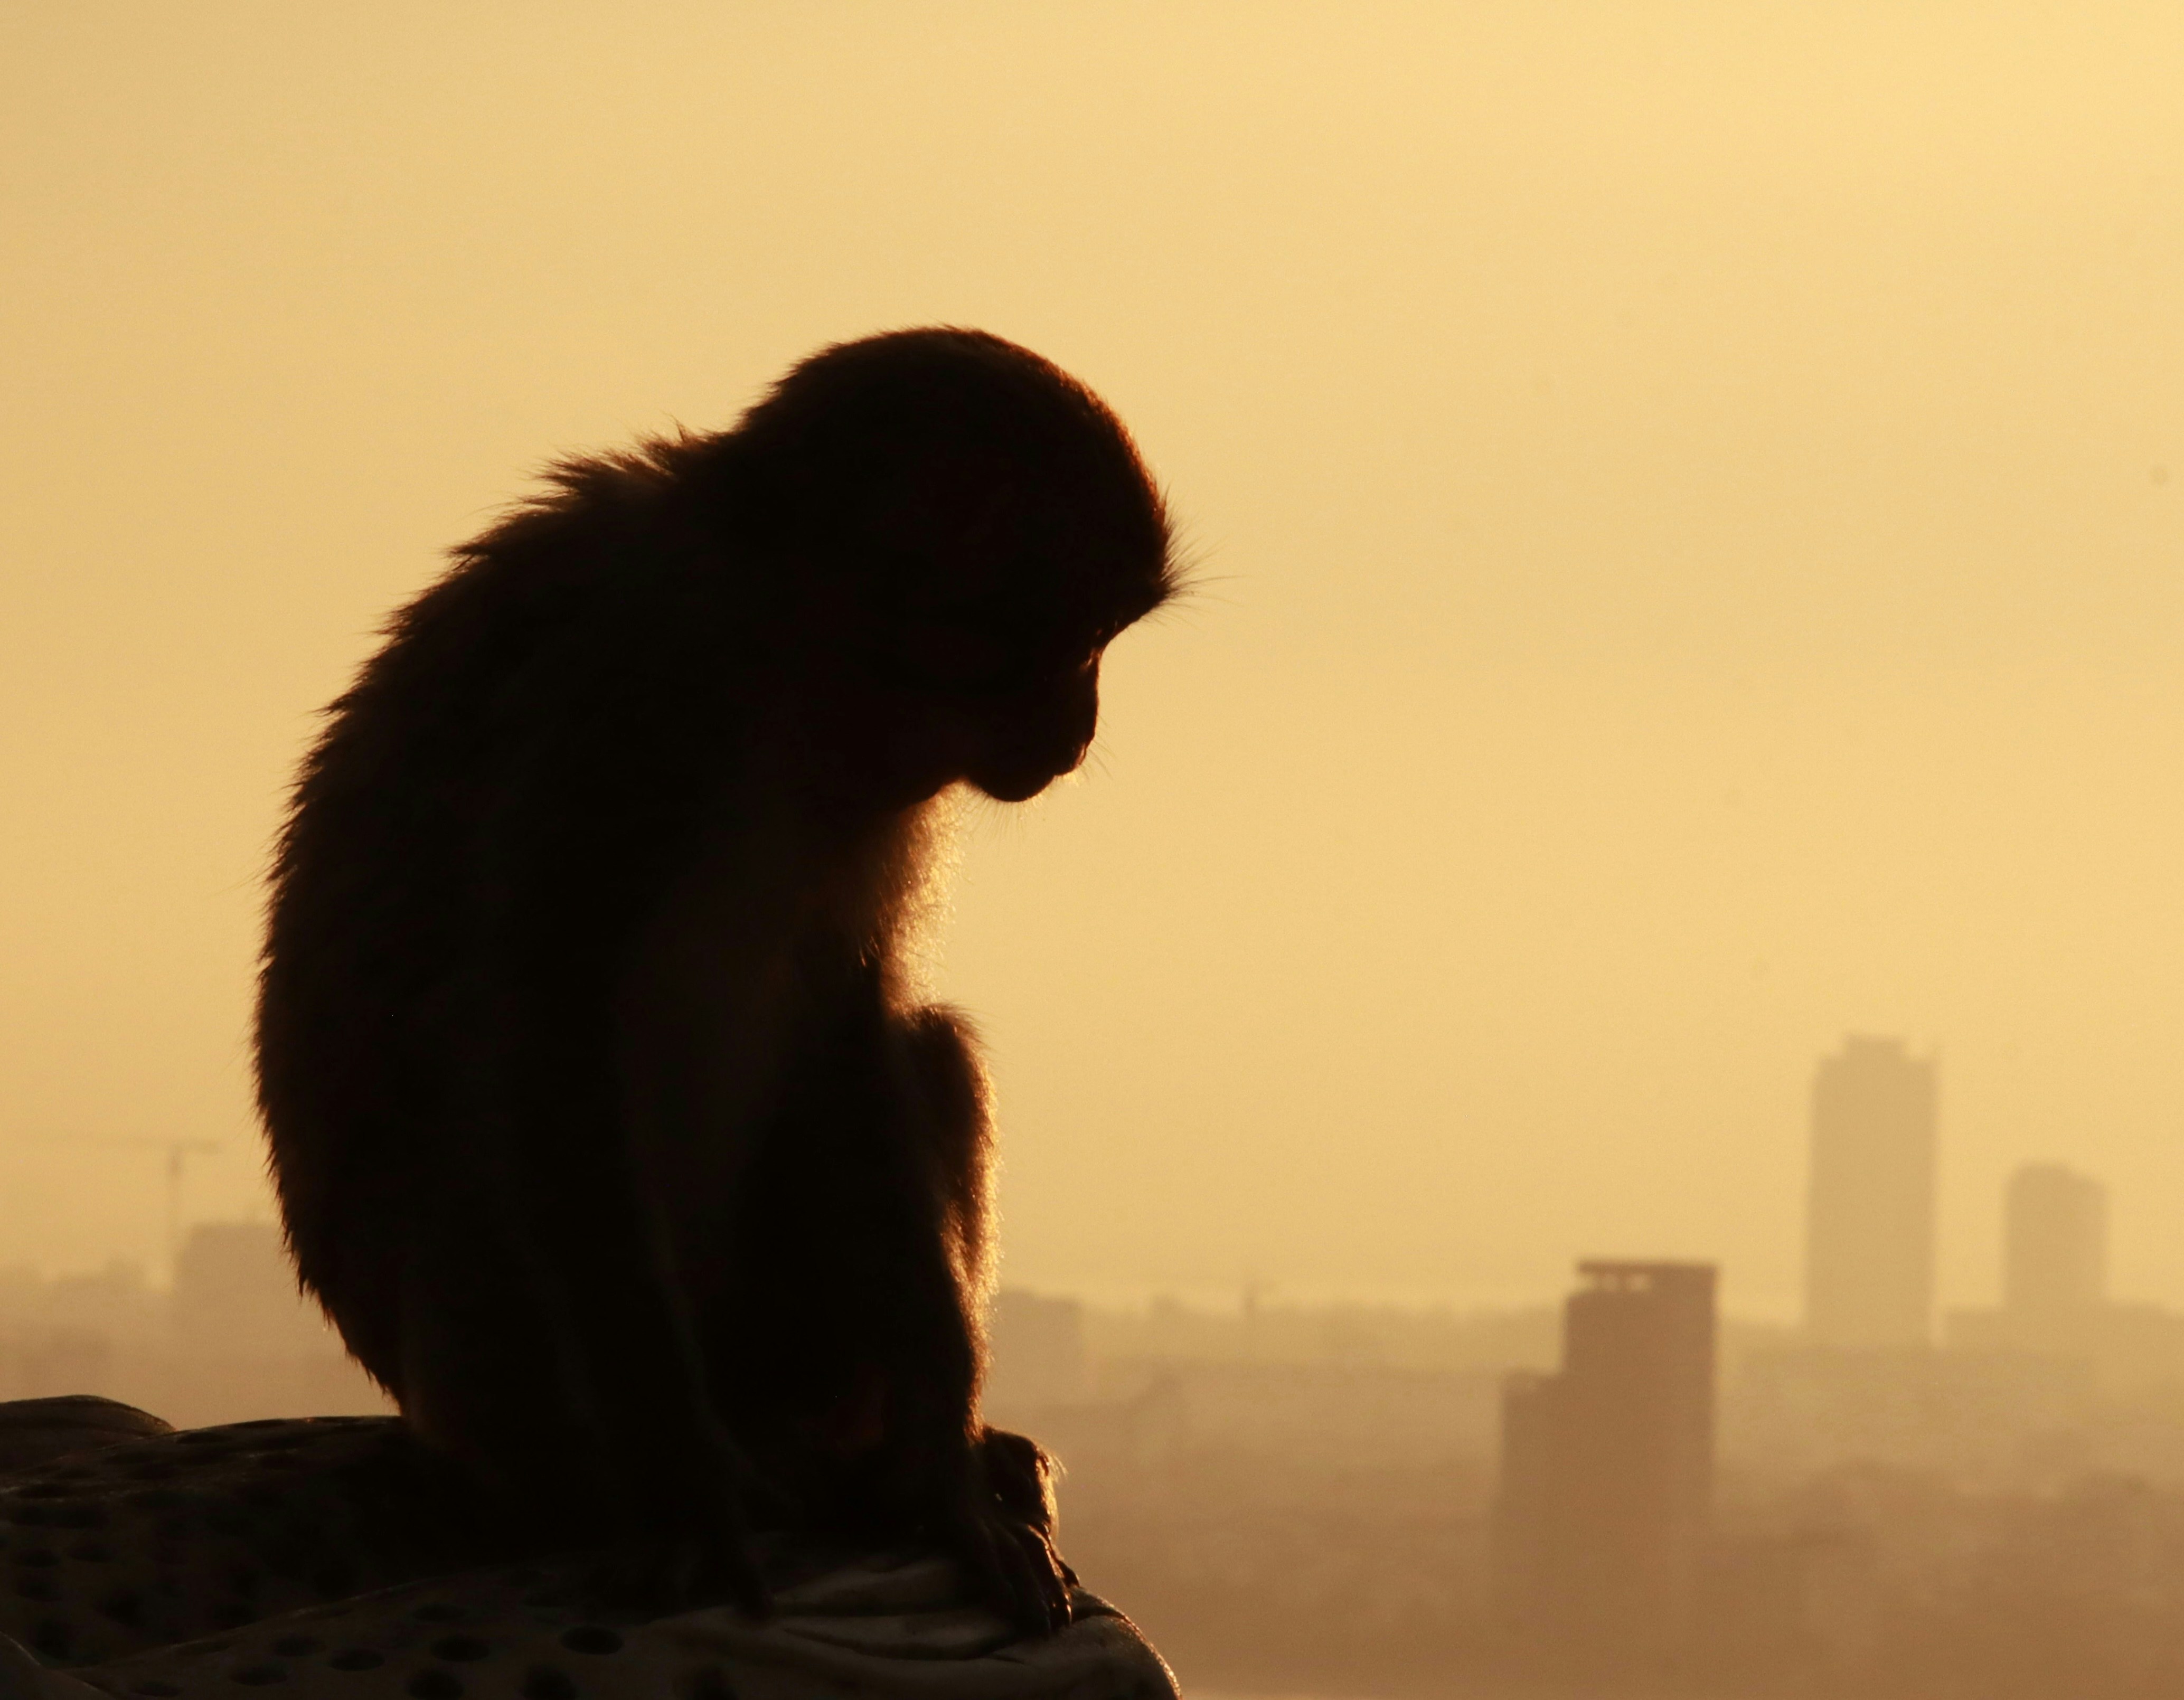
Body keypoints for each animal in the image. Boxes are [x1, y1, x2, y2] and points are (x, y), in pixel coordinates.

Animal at [252, 329, 1175, 1632]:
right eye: (1073, 639)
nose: (1083, 724)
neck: (781, 655)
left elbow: (847, 1017)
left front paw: (940, 1466)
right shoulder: (636, 680)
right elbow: (554, 1019)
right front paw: (685, 1482)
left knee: (923, 1047)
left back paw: (886, 1451)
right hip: (486, 1378)